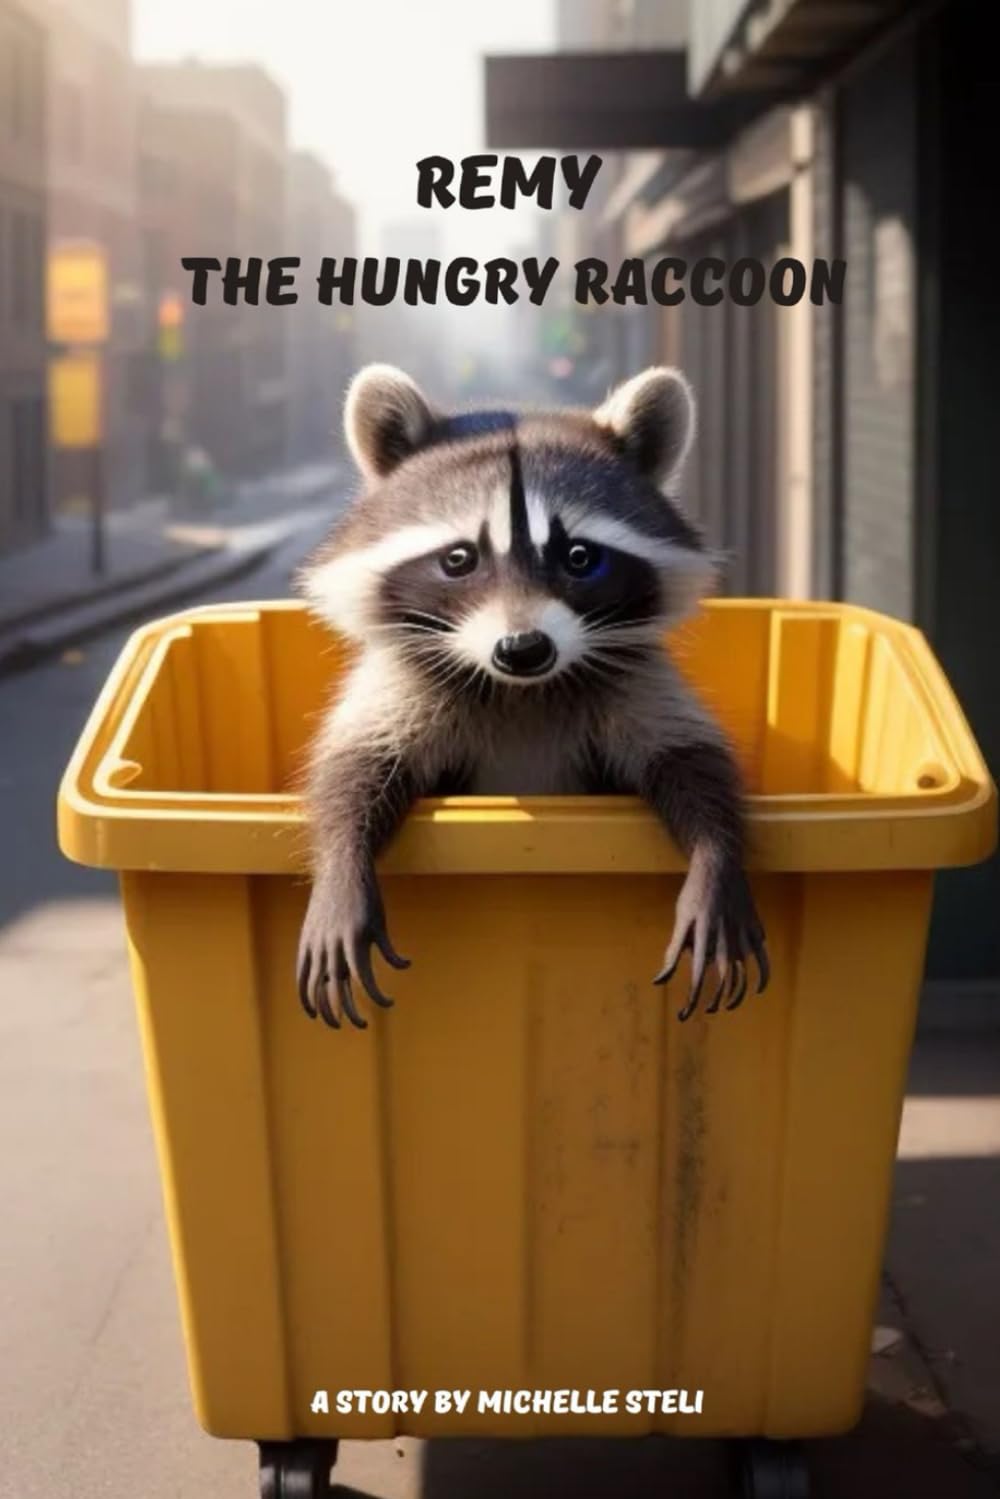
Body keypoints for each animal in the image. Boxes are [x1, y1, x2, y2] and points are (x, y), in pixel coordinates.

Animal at [296, 363, 768, 1030]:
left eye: (580, 557)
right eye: (459, 559)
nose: (523, 649)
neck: (520, 691)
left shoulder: (634, 678)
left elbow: (693, 760)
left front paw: (717, 858)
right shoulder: (403, 681)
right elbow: (354, 766)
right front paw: (341, 866)